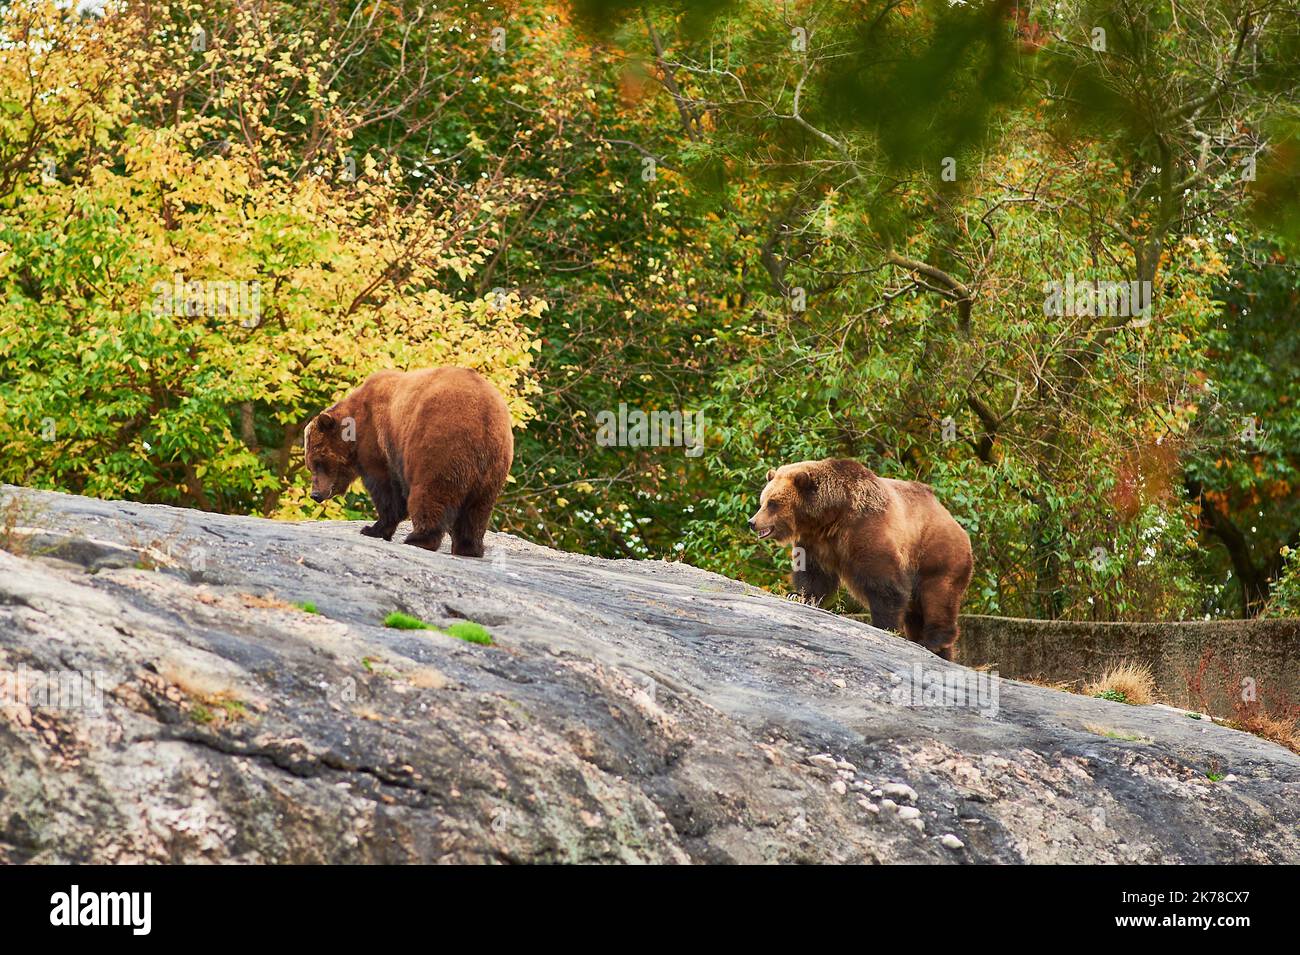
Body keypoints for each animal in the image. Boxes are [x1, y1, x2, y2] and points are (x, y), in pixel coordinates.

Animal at [303, 367, 513, 557]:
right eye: (310, 465)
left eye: (318, 461)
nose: (315, 494)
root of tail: (485, 415)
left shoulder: (378, 442)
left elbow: (386, 490)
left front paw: (372, 529)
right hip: (494, 466)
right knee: (477, 509)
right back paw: (469, 547)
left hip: (441, 443)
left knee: (430, 493)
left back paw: (418, 538)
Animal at [750, 458, 973, 660]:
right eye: (763, 501)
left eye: (772, 503)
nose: (752, 522)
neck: (830, 514)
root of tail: (955, 523)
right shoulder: (815, 541)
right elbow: (814, 575)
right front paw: (798, 595)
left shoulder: (866, 526)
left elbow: (883, 583)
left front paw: (884, 624)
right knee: (917, 611)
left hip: (936, 553)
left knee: (937, 595)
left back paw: (933, 641)